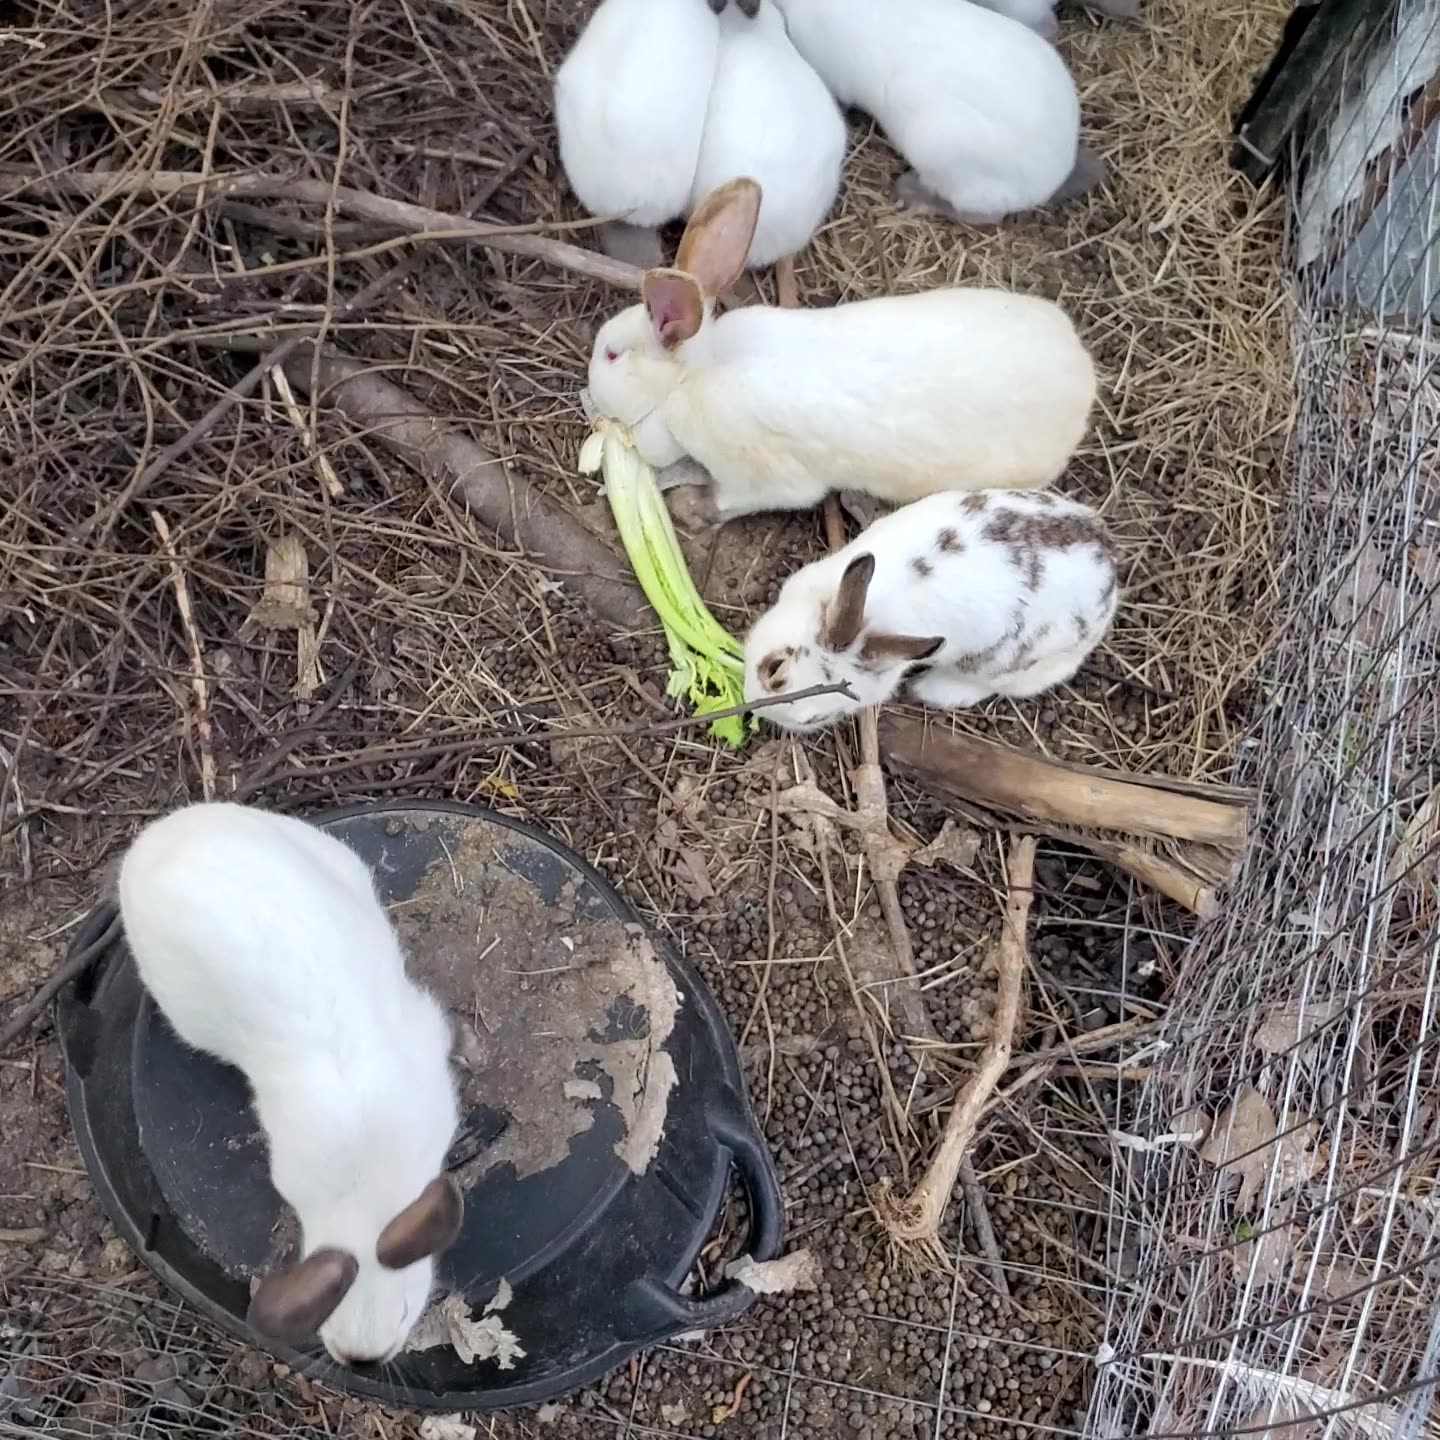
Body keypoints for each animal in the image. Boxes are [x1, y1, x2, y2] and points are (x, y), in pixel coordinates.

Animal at [586, 178, 1096, 521]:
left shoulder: (758, 477)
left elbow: (732, 499)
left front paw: (687, 503)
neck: (690, 378)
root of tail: (1084, 375)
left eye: (611, 354)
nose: (588, 395)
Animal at [743, 488, 1118, 732]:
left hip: (1008, 669)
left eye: (816, 719)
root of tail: (1111, 574)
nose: (752, 704)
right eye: (774, 667)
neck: (873, 617)